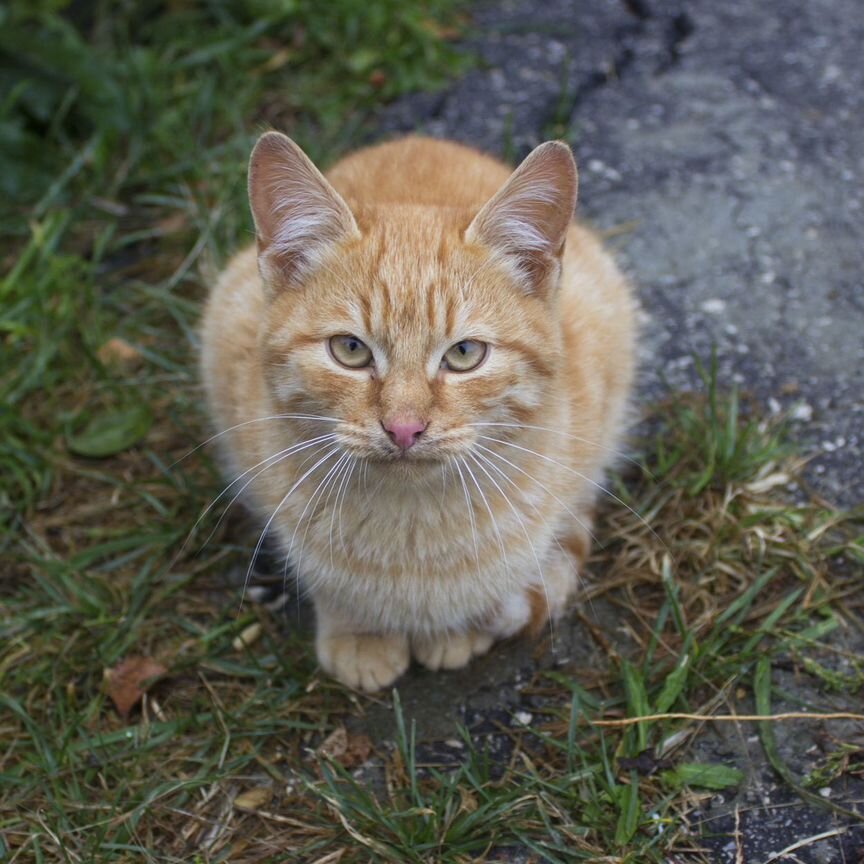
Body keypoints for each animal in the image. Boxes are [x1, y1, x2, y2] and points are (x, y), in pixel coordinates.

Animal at [201, 132, 636, 692]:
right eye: (350, 349)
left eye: (465, 354)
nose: (404, 428)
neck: (411, 531)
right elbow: (331, 585)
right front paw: (360, 633)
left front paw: (455, 632)